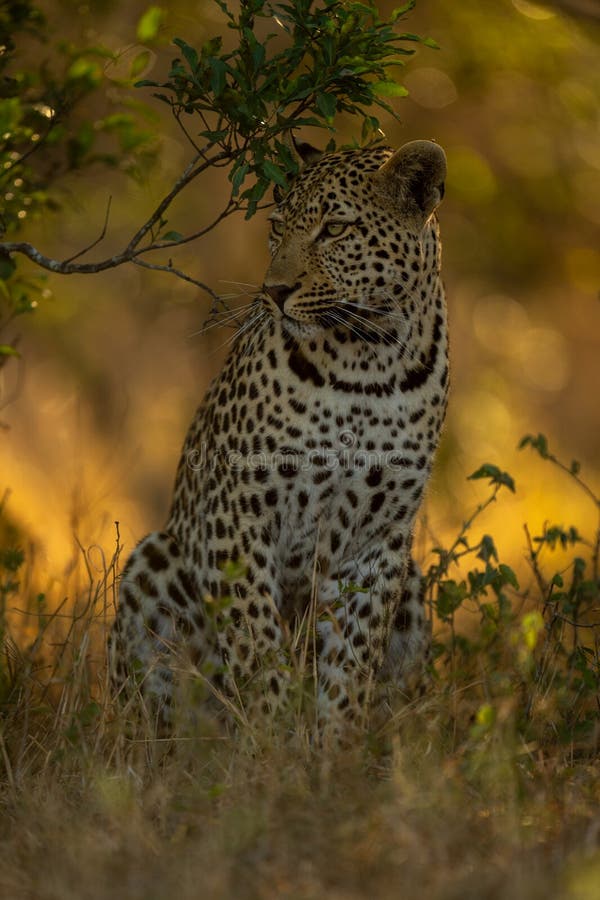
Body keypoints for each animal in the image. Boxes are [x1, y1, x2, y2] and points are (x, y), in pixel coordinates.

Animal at [109, 138, 449, 737]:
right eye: (276, 227)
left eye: (334, 229)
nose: (275, 290)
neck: (369, 359)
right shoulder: (238, 512)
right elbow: (257, 644)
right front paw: (276, 742)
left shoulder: (379, 539)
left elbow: (352, 663)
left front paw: (331, 751)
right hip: (154, 561)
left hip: (411, 586)